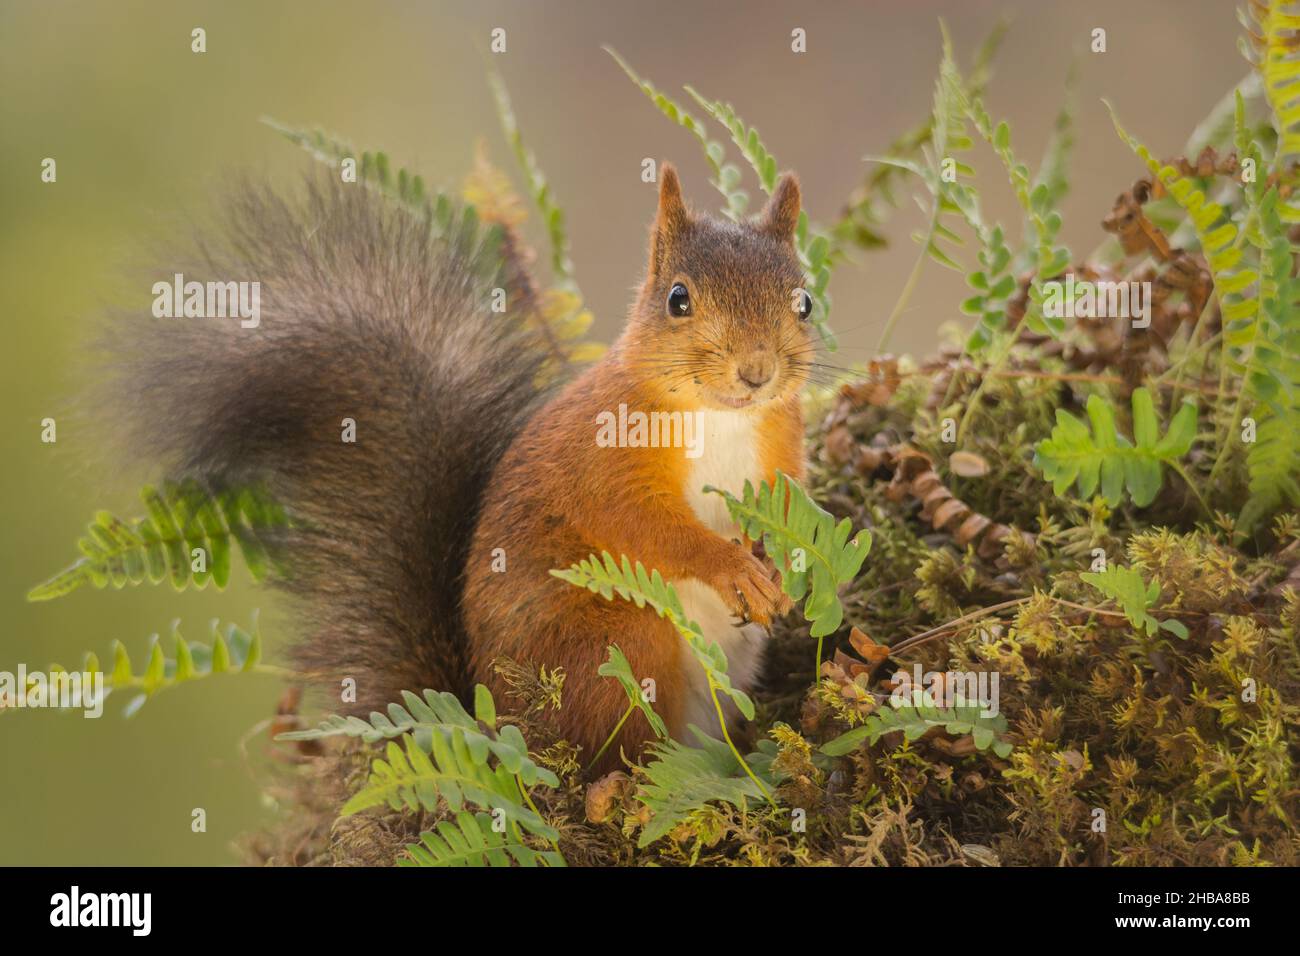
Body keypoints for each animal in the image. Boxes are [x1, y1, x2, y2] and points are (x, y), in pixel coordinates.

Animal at [99, 161, 812, 770]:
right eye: (677, 299)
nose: (756, 370)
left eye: (803, 301)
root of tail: (489, 714)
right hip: (614, 645)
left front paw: (775, 560)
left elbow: (788, 505)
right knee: (612, 756)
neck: (720, 418)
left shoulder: (780, 450)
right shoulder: (603, 454)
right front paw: (730, 566)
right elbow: (643, 525)